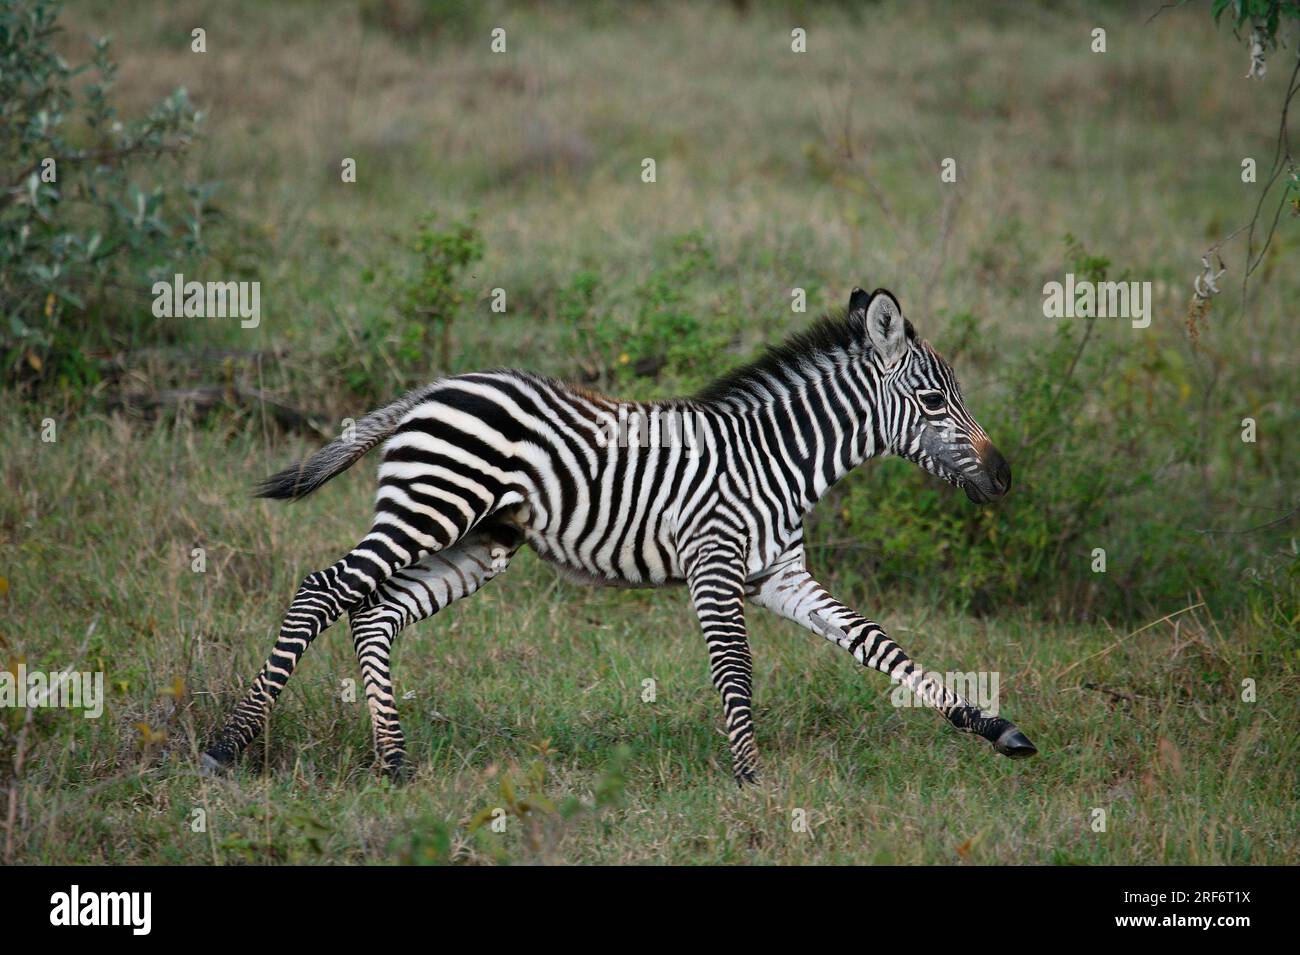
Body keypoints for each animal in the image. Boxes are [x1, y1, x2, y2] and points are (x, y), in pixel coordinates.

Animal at [203, 286, 1037, 784]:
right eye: (932, 401)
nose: (1002, 478)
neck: (776, 459)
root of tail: (432, 390)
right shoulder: (714, 564)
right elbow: (736, 671)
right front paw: (752, 780)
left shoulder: (780, 576)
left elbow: (880, 643)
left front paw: (994, 727)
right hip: (429, 509)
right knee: (323, 590)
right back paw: (226, 745)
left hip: (475, 539)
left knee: (374, 612)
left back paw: (396, 763)